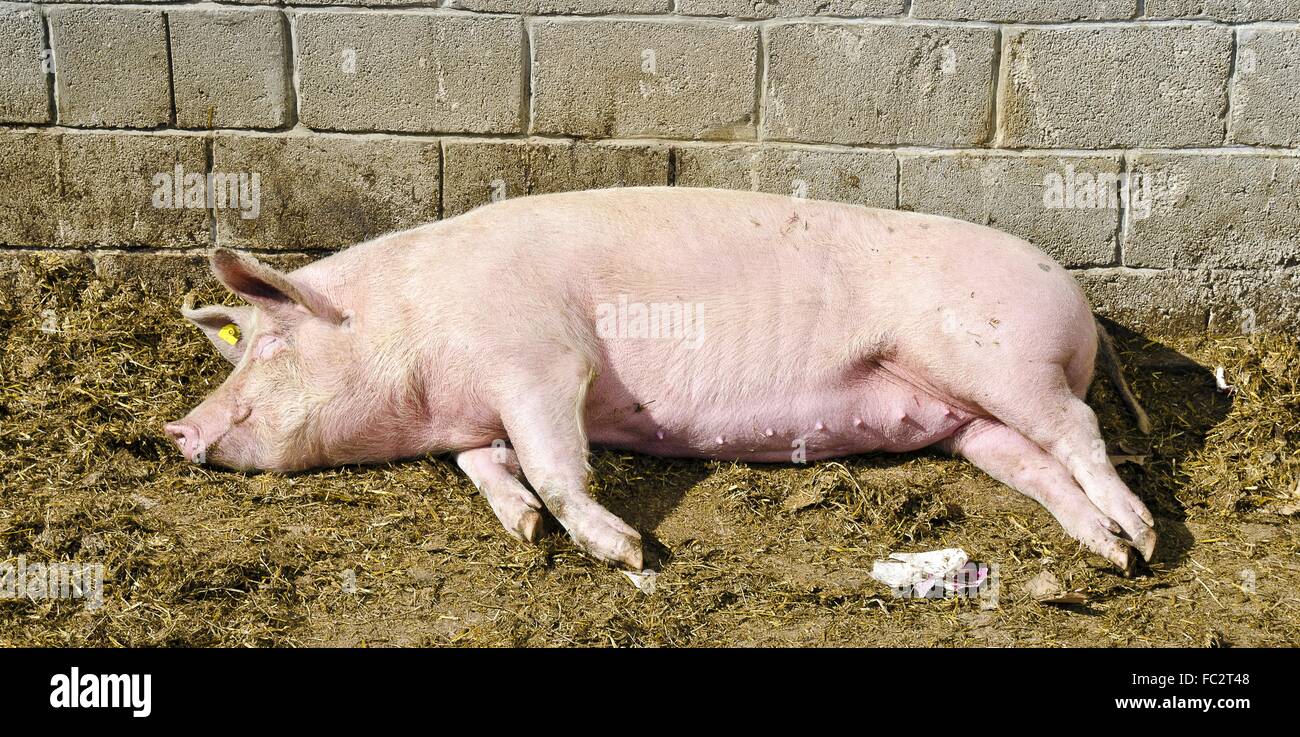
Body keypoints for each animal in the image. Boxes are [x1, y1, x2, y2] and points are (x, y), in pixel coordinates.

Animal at [166, 187, 1157, 574]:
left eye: (268, 348)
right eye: (236, 348)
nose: (174, 430)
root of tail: (1077, 294)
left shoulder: (542, 361)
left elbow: (556, 463)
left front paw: (630, 552)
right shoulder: (475, 415)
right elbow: (487, 466)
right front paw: (524, 529)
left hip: (1001, 359)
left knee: (1080, 433)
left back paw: (1144, 539)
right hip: (968, 419)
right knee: (1038, 464)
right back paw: (1110, 550)